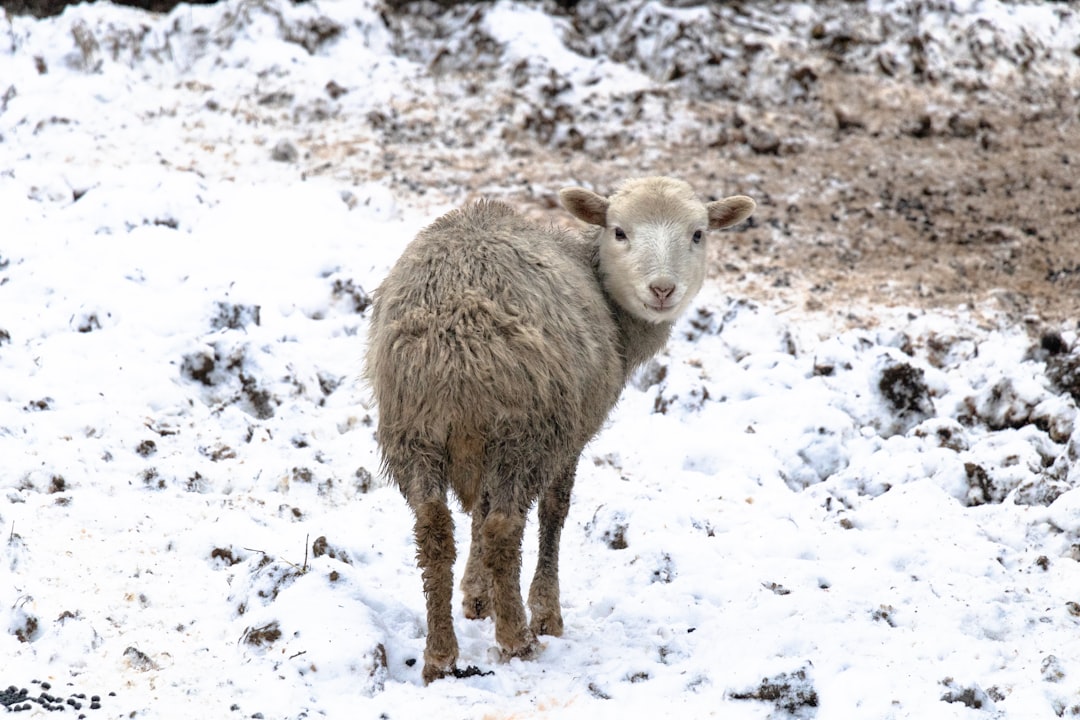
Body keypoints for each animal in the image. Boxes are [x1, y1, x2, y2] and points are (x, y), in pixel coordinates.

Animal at [364, 176, 756, 684]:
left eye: (698, 234)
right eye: (619, 231)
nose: (662, 290)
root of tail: (457, 345)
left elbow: (478, 513)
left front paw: (477, 595)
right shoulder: (570, 435)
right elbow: (554, 512)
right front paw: (543, 612)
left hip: (413, 430)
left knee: (434, 533)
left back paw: (440, 655)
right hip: (524, 429)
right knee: (505, 528)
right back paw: (517, 638)